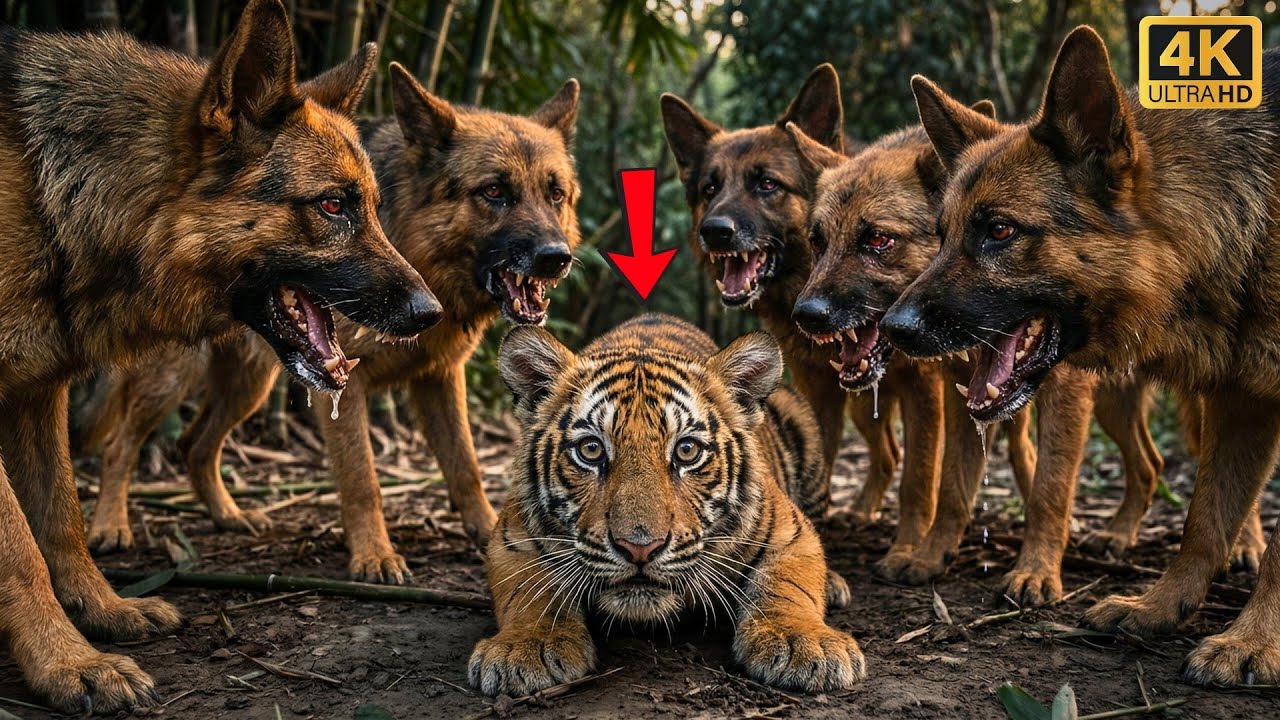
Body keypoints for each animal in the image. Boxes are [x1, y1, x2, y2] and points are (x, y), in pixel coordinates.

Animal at [469, 314, 865, 696]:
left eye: (687, 450)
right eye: (591, 449)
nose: (639, 548)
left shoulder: (790, 533)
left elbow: (789, 586)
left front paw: (804, 642)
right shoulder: (511, 538)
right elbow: (529, 591)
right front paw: (527, 646)